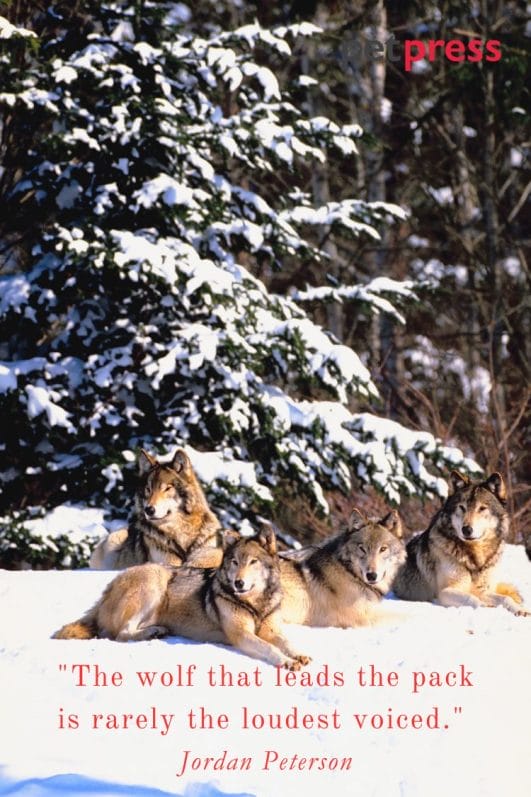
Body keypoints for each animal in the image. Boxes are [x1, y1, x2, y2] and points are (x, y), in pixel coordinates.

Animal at [54, 529, 311, 670]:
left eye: (253, 562)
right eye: (235, 562)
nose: (238, 583)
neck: (255, 604)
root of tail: (106, 590)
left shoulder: (271, 629)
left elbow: (287, 642)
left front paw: (299, 655)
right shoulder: (241, 634)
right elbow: (269, 648)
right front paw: (288, 662)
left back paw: (156, 630)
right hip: (154, 579)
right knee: (121, 634)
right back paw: (152, 632)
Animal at [90, 449, 223, 570]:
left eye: (167, 488)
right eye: (148, 489)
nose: (148, 510)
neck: (181, 534)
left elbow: (209, 558)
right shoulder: (164, 561)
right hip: (114, 540)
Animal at [392, 471, 527, 615]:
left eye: (482, 508)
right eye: (462, 507)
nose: (466, 529)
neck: (475, 559)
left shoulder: (482, 591)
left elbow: (505, 598)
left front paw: (520, 609)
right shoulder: (444, 592)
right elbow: (472, 599)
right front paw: (486, 608)